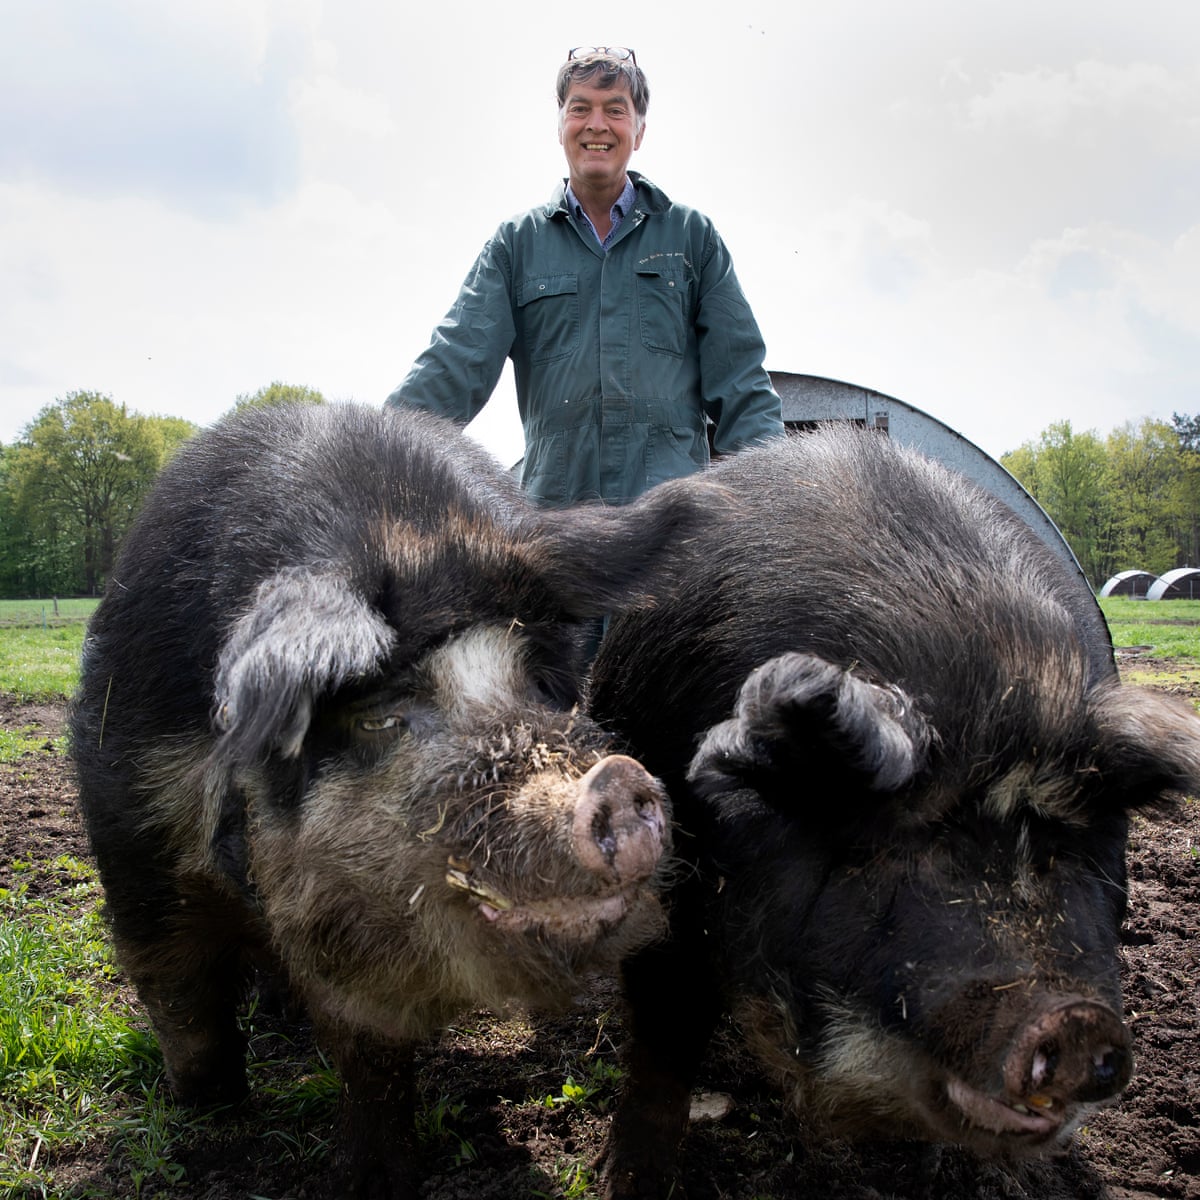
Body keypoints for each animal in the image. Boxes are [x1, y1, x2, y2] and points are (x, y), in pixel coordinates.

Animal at [68, 401, 711, 1198]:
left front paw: (379, 1177)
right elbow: (181, 994)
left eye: (537, 681)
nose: (619, 782)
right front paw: (209, 1118)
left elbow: (370, 1056)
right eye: (378, 716)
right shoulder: (135, 822)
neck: (398, 529)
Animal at [587, 422, 1200, 1199]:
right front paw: (629, 1181)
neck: (996, 687)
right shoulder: (668, 877)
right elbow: (666, 1022)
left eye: (1071, 850)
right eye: (901, 853)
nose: (1076, 1019)